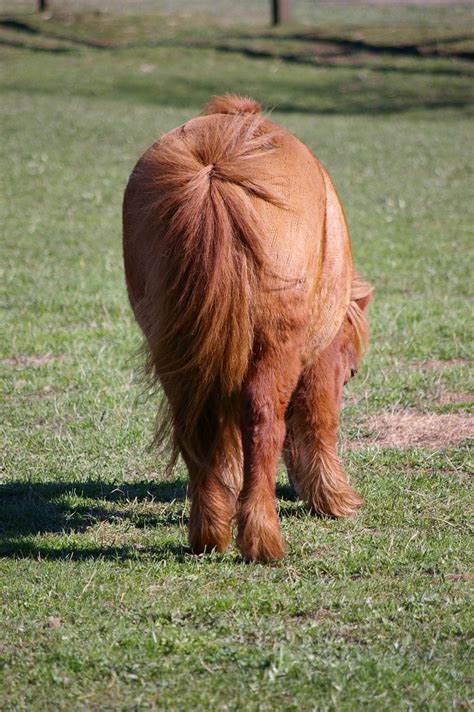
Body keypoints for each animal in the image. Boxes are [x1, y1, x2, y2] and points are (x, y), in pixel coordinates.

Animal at [123, 94, 372, 562]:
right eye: (348, 369)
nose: (351, 372)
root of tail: (214, 168)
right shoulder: (318, 360)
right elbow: (318, 419)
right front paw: (335, 499)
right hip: (274, 345)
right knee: (263, 421)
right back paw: (262, 538)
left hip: (176, 348)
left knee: (196, 423)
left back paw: (209, 531)